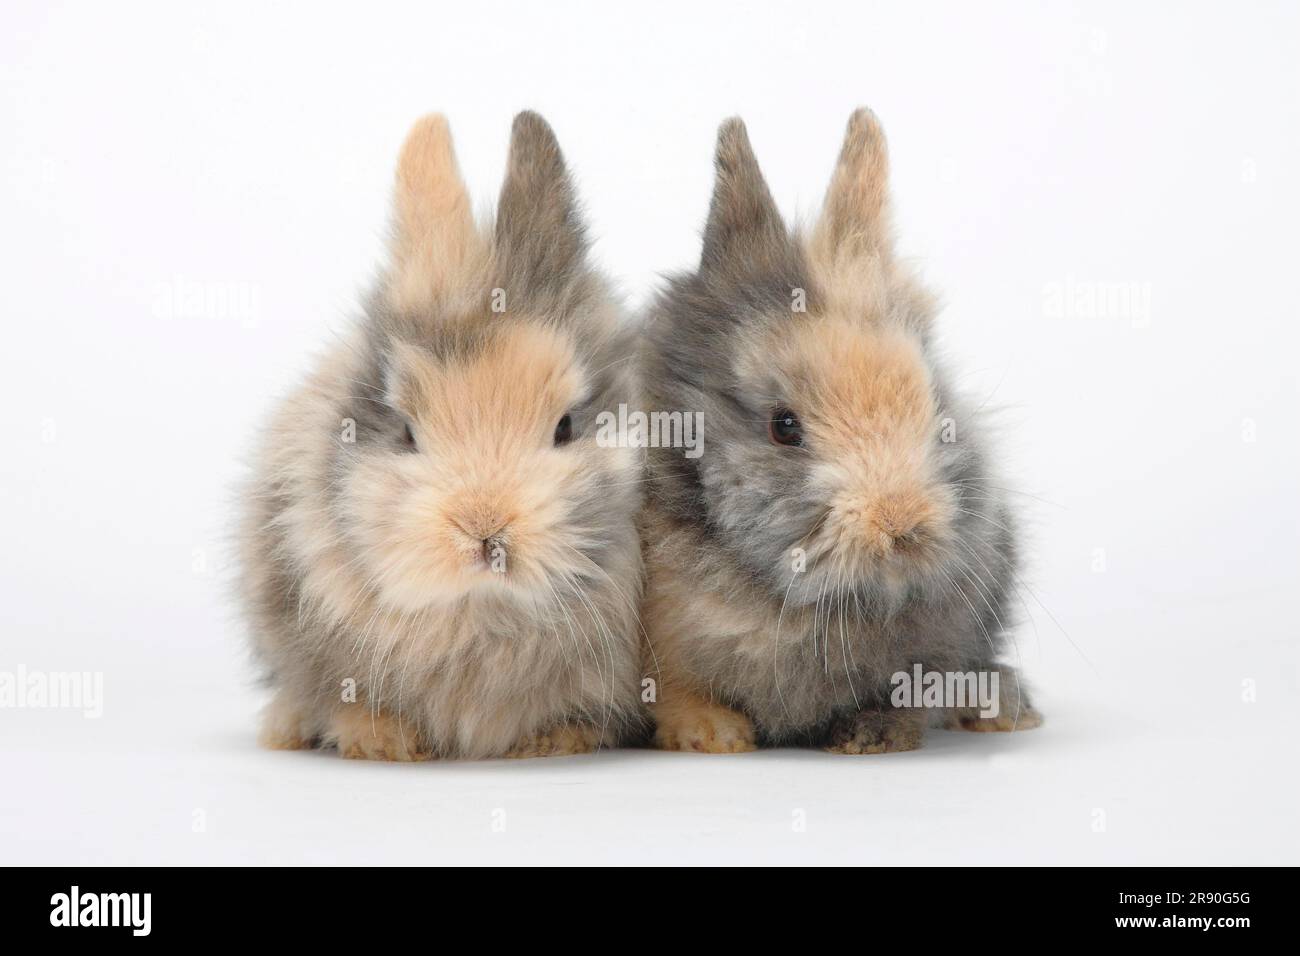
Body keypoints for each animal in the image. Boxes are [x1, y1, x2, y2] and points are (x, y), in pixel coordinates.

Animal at [238, 111, 646, 760]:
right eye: (405, 431)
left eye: (566, 426)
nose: (484, 531)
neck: (482, 614)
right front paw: (382, 742)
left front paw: (553, 742)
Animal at [639, 109, 1042, 754]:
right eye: (784, 427)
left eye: (935, 404)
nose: (902, 527)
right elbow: (676, 690)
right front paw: (713, 735)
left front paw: (875, 735)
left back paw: (1003, 710)